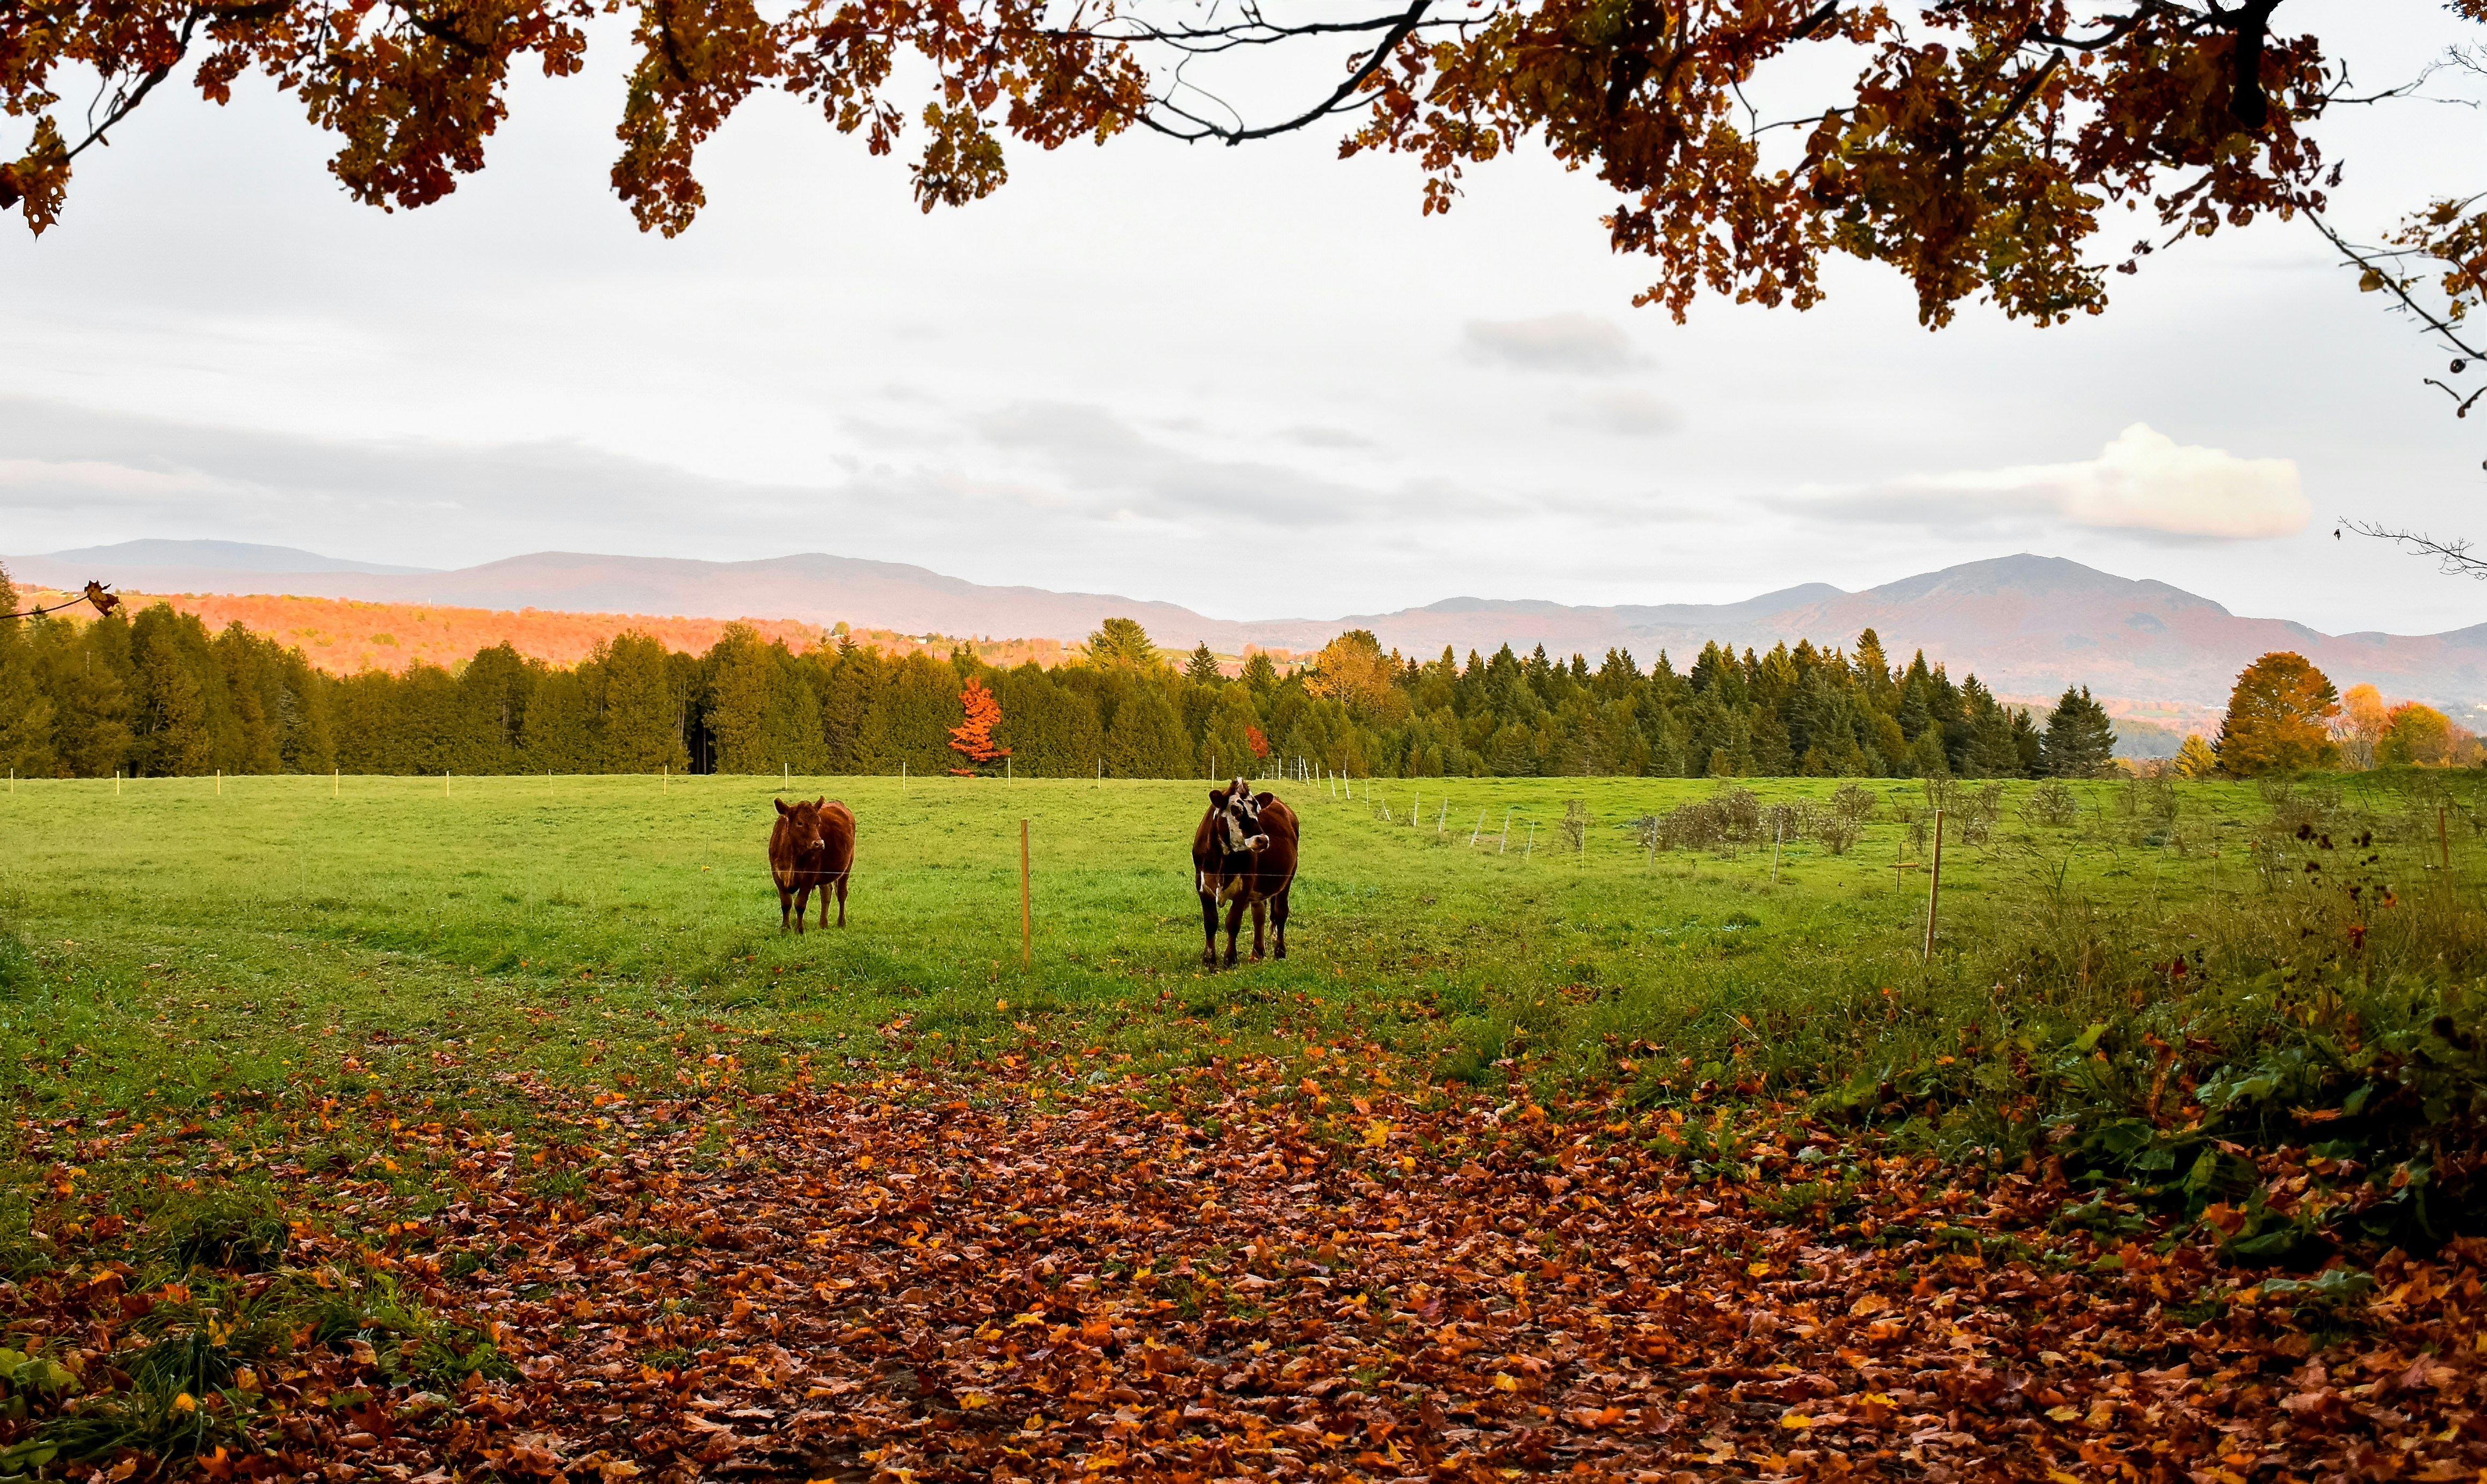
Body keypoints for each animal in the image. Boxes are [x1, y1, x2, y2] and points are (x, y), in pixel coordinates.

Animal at [770, 796, 857, 932]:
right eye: (799, 823)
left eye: (818, 823)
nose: (819, 844)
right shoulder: (776, 874)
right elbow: (786, 903)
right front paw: (785, 928)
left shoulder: (809, 876)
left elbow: (800, 904)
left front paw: (799, 929)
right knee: (826, 892)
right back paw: (823, 924)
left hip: (847, 866)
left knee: (842, 893)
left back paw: (841, 923)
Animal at [1192, 778, 1298, 968]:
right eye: (1236, 810)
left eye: (1258, 811)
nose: (1262, 840)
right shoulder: (1202, 885)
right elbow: (1210, 922)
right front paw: (1209, 960)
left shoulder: (1245, 887)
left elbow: (1233, 922)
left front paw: (1230, 959)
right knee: (1259, 914)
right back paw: (1257, 953)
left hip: (1288, 878)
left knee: (1280, 913)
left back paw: (1280, 952)